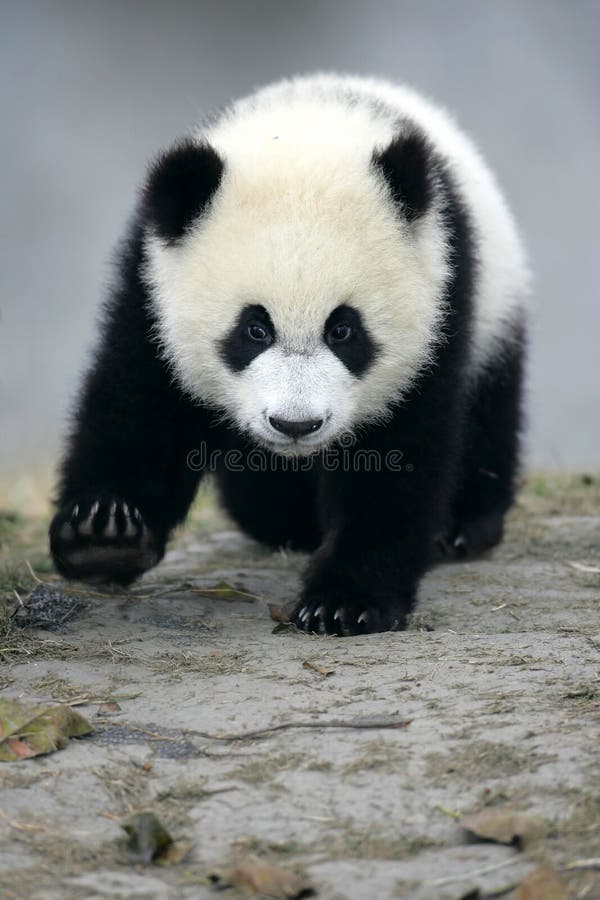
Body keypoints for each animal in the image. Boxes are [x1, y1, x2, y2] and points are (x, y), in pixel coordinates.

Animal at [49, 74, 529, 635]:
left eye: (343, 329)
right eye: (254, 329)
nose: (295, 424)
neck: (305, 128)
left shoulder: (441, 298)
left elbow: (401, 453)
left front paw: (345, 601)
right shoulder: (150, 281)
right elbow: (140, 402)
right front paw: (103, 535)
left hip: (497, 307)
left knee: (491, 409)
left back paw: (463, 527)